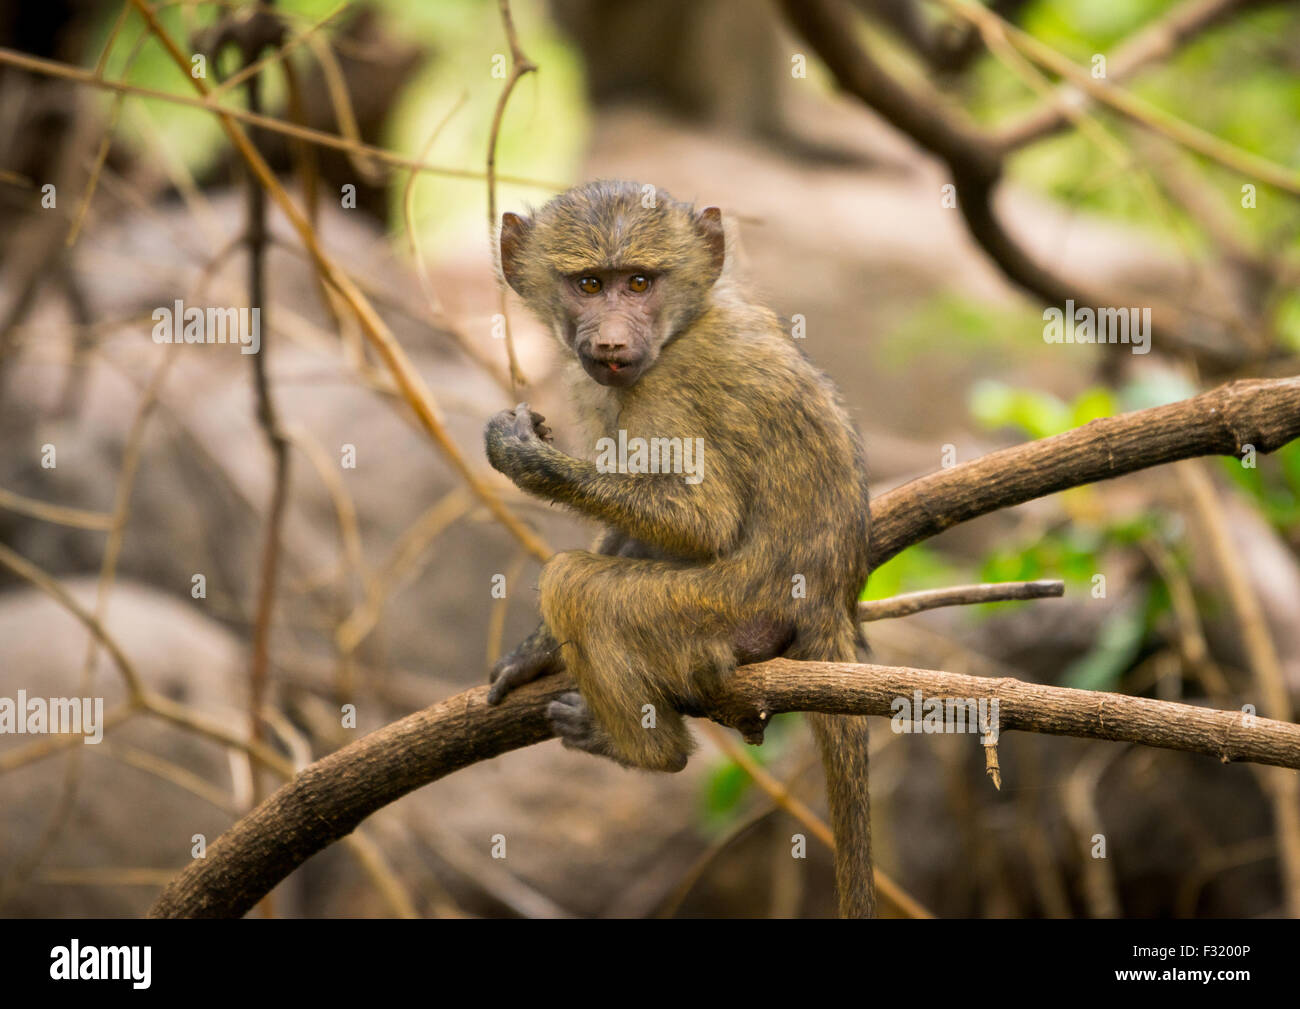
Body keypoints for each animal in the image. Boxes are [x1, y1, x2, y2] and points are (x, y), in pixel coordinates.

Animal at [483, 180, 874, 918]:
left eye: (640, 282)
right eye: (588, 283)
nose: (611, 342)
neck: (685, 325)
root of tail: (829, 603)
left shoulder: (665, 389)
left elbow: (704, 521)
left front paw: (523, 458)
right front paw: (533, 652)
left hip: (712, 611)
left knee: (576, 582)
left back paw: (647, 752)